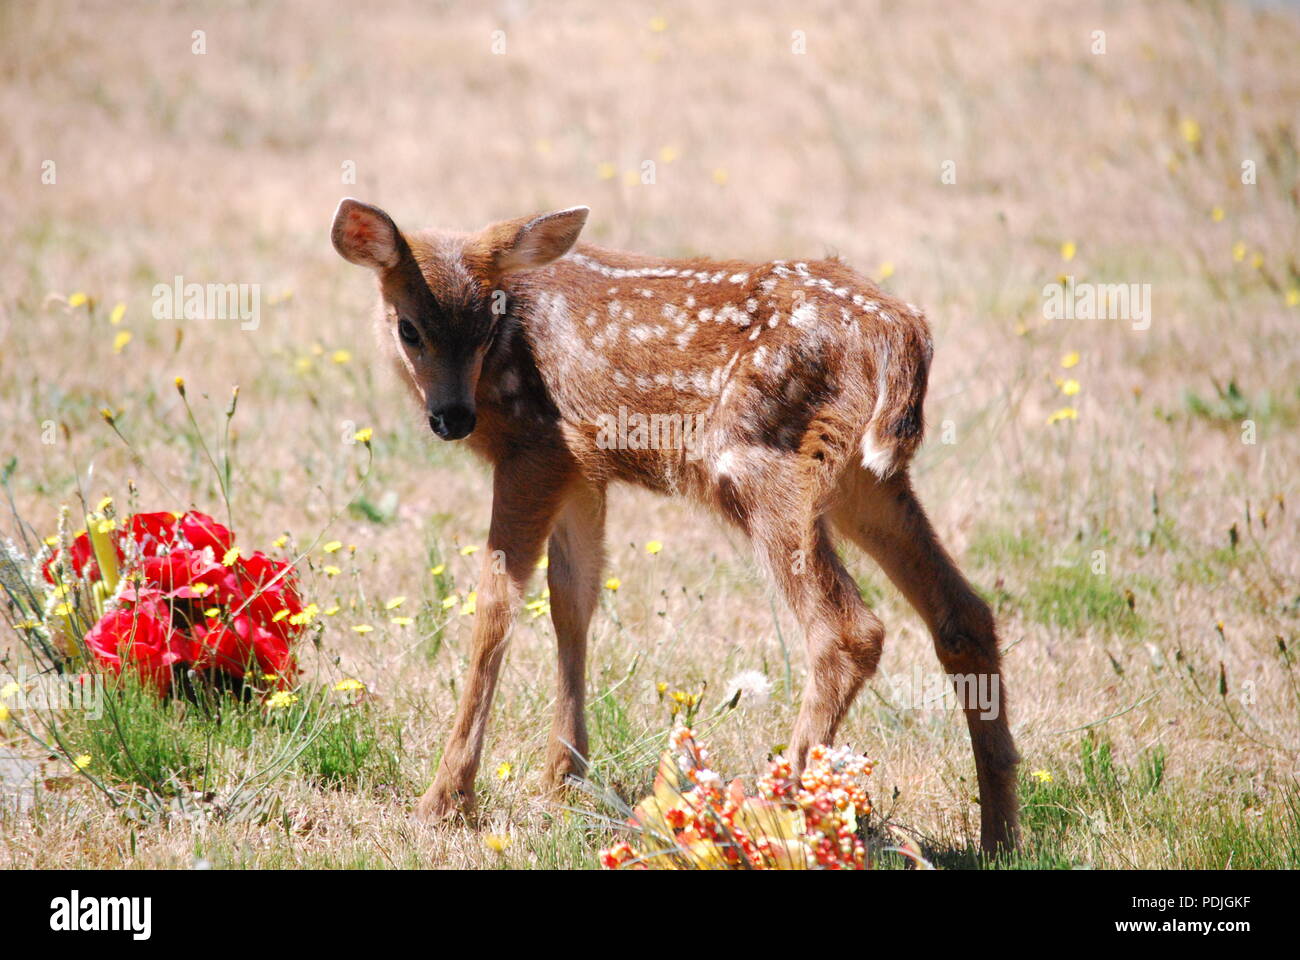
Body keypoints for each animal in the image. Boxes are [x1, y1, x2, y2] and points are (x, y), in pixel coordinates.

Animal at [330, 198, 1020, 853]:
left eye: (485, 327)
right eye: (409, 327)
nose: (452, 418)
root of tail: (901, 330)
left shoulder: (535, 448)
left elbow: (495, 607)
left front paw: (446, 801)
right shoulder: (581, 467)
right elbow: (571, 601)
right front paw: (563, 781)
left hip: (760, 460)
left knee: (849, 631)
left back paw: (773, 815)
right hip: (865, 478)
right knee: (963, 612)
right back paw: (1000, 837)